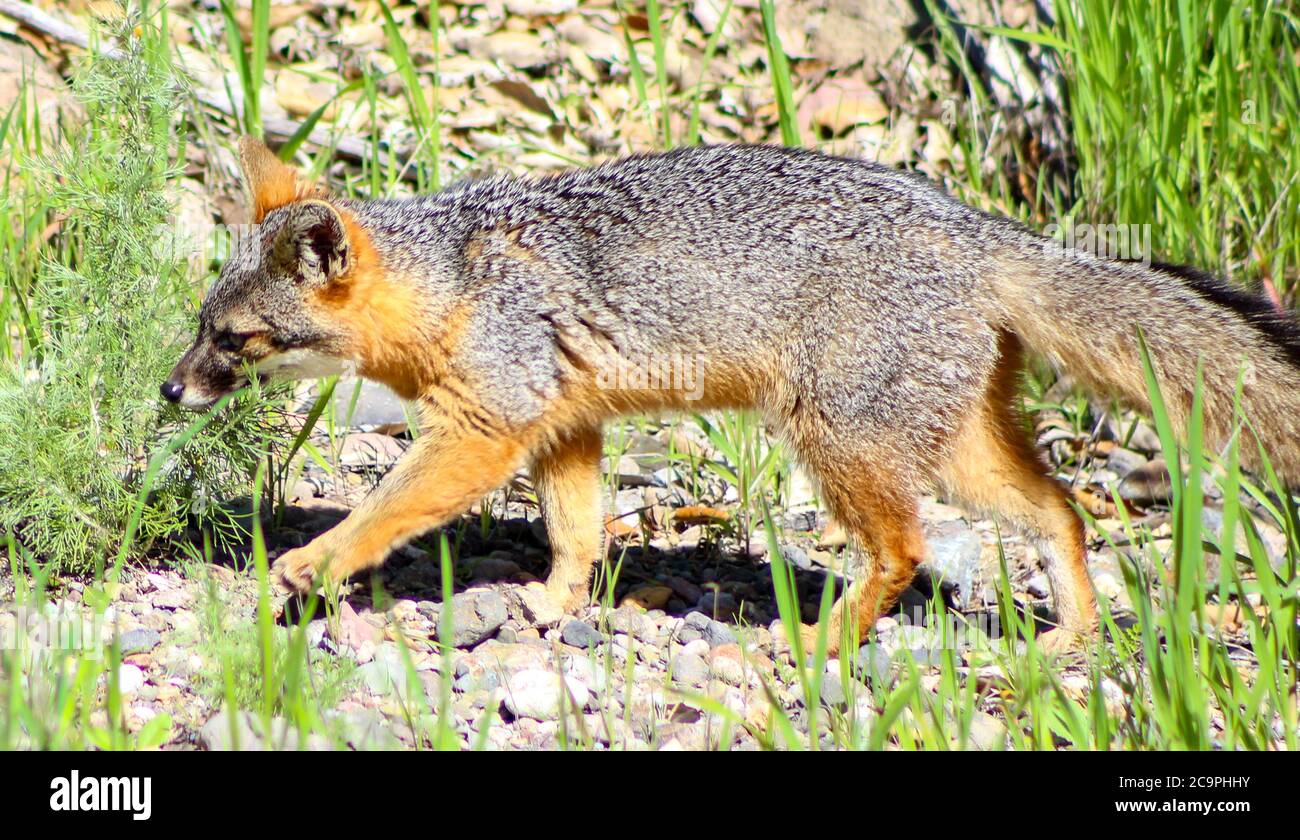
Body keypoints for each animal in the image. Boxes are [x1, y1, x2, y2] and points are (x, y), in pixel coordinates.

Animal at [164, 136, 1300, 654]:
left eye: (232, 339)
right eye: (200, 322)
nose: (170, 389)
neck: (454, 280)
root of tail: (983, 227)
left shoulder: (481, 431)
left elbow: (384, 509)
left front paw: (311, 564)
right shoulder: (566, 425)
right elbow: (578, 533)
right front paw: (551, 604)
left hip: (841, 439)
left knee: (904, 548)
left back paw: (830, 640)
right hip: (955, 447)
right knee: (1061, 509)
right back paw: (1070, 635)